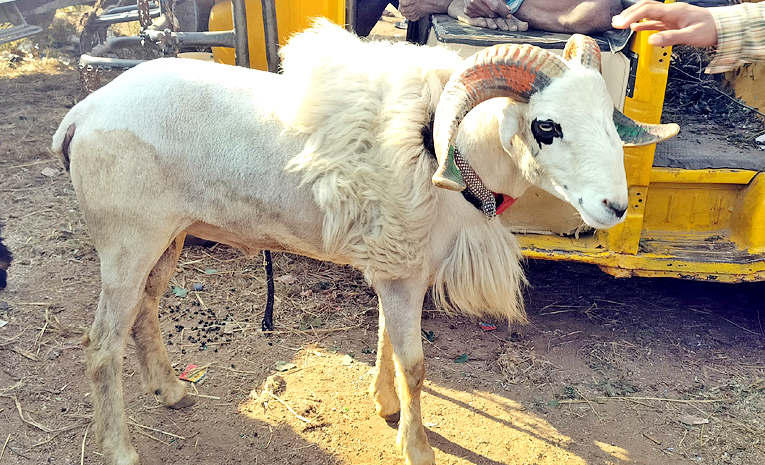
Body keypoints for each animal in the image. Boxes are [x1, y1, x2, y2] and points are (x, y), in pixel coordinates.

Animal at [50, 20, 677, 465]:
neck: (448, 150)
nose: (615, 207)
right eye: (547, 126)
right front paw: (417, 447)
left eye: (609, 118)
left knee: (146, 310)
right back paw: (121, 450)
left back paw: (171, 390)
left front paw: (386, 406)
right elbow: (416, 363)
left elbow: (385, 344)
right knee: (101, 343)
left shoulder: (399, 262)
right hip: (126, 239)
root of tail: (83, 111)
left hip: (169, 235)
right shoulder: (401, 268)